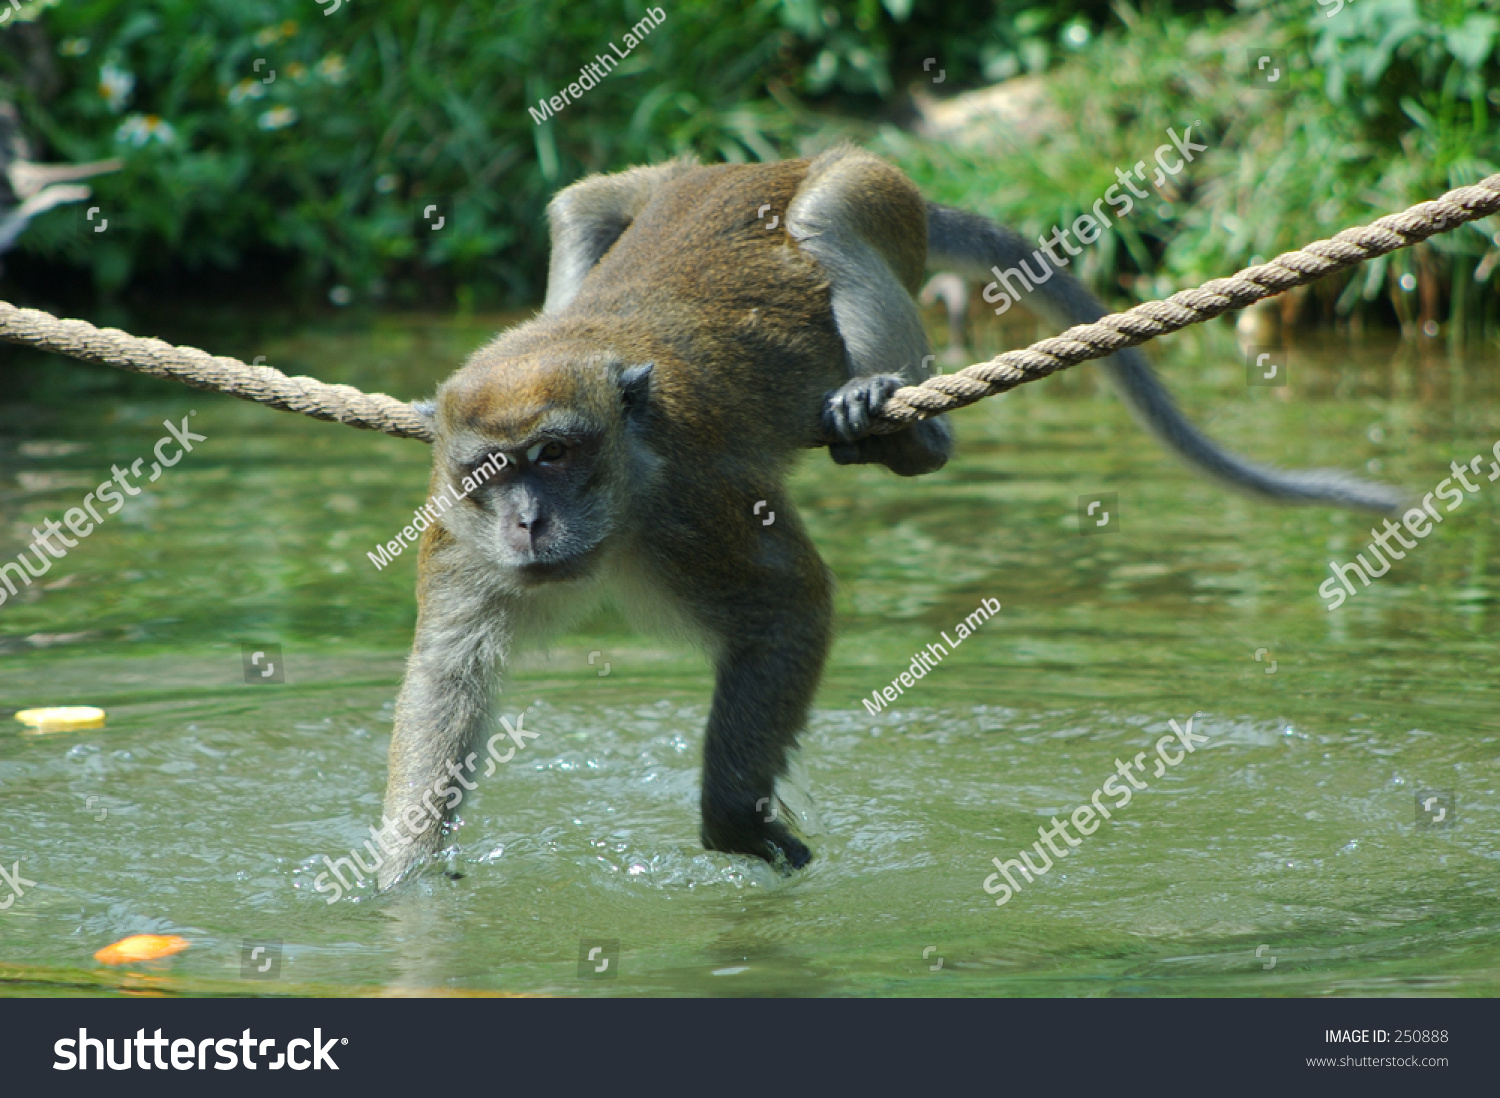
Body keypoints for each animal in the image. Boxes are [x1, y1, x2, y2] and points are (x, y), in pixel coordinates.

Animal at [374, 145, 1401, 890]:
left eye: (556, 456)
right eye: (493, 470)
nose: (527, 524)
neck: (624, 486)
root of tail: (765, 163)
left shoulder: (697, 498)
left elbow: (789, 608)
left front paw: (734, 819)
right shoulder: (455, 536)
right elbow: (448, 675)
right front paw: (406, 880)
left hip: (875, 191)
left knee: (826, 218)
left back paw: (909, 430)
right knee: (582, 206)